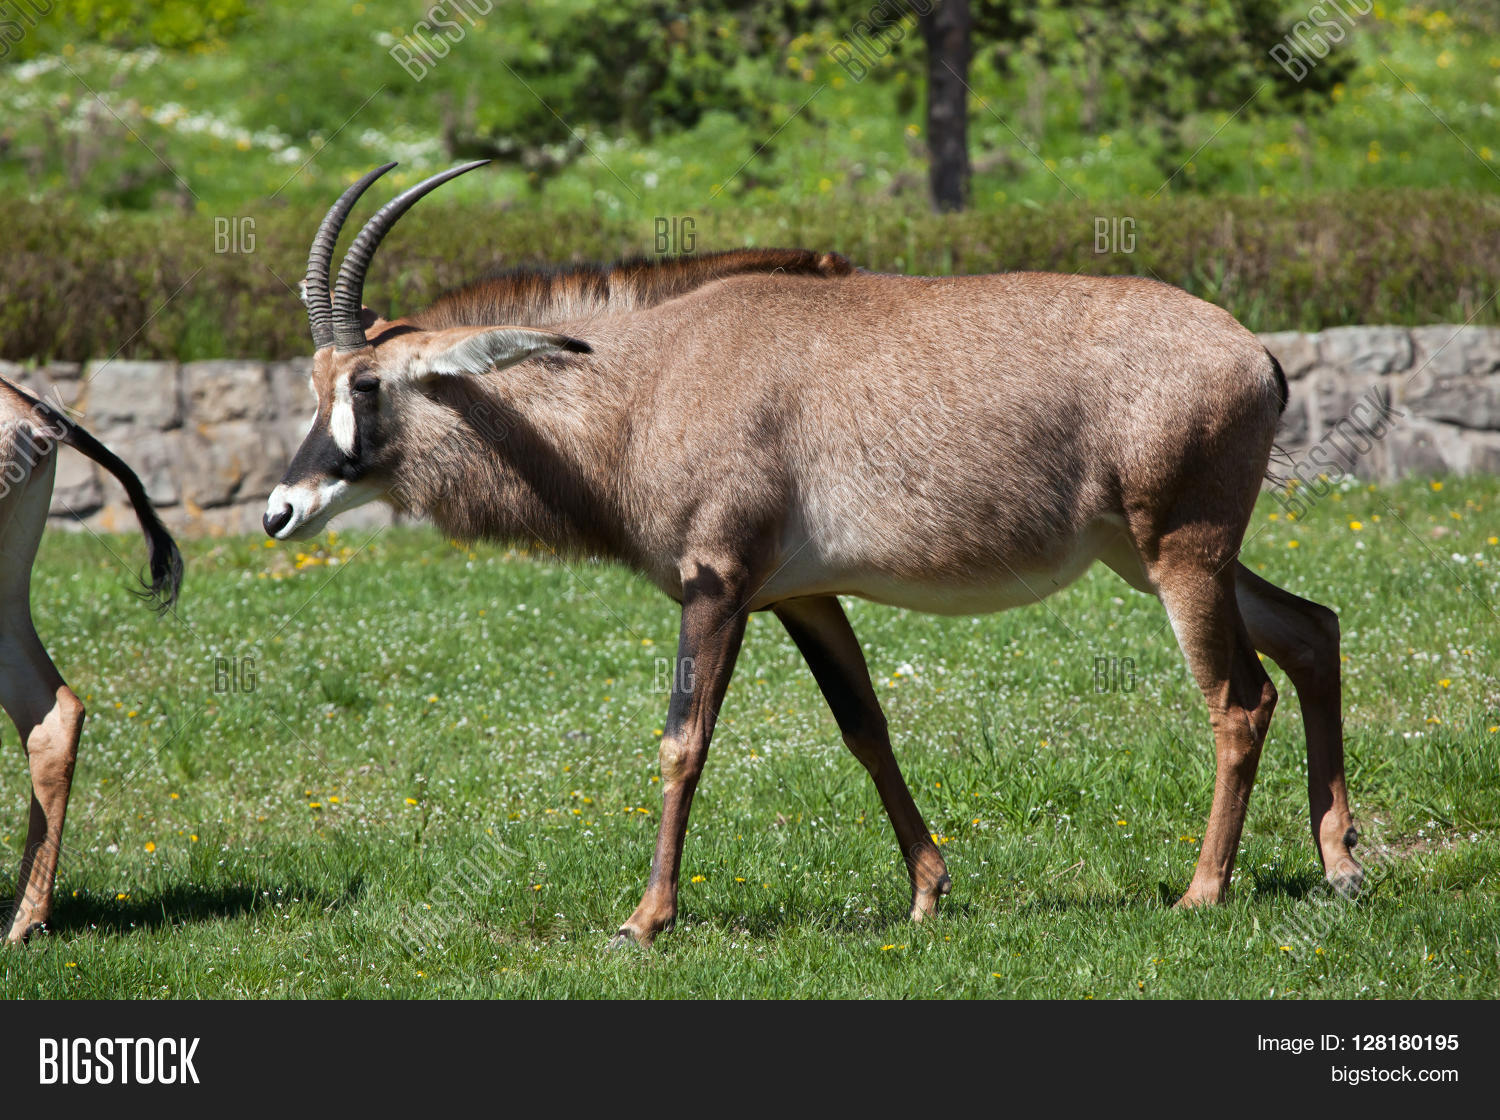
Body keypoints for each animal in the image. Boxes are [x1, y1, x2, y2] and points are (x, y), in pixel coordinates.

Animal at [268, 161, 1363, 948]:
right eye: (316, 380)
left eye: (366, 384)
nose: (281, 508)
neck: (646, 377)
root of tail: (1255, 354)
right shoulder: (801, 596)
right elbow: (865, 728)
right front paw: (927, 891)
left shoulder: (716, 582)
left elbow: (683, 740)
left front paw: (644, 920)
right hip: (1154, 557)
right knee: (1313, 629)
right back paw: (1341, 862)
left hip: (1181, 553)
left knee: (1240, 697)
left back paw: (1204, 891)